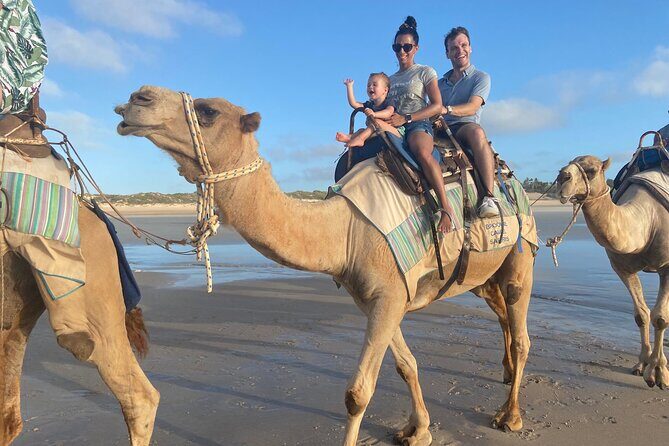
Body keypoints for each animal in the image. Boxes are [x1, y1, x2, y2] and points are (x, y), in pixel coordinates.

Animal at [115, 85, 535, 445]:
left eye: (207, 111)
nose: (137, 98)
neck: (345, 230)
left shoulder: (388, 296)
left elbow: (357, 393)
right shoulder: (379, 297)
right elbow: (406, 365)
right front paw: (417, 431)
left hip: (520, 254)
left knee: (521, 332)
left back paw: (510, 415)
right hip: (482, 274)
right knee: (502, 315)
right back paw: (504, 374)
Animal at [557, 155, 669, 388]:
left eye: (591, 170)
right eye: (566, 164)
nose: (562, 177)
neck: (648, 220)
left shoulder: (667, 267)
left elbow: (661, 318)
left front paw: (658, 374)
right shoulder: (621, 267)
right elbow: (642, 315)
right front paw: (642, 365)